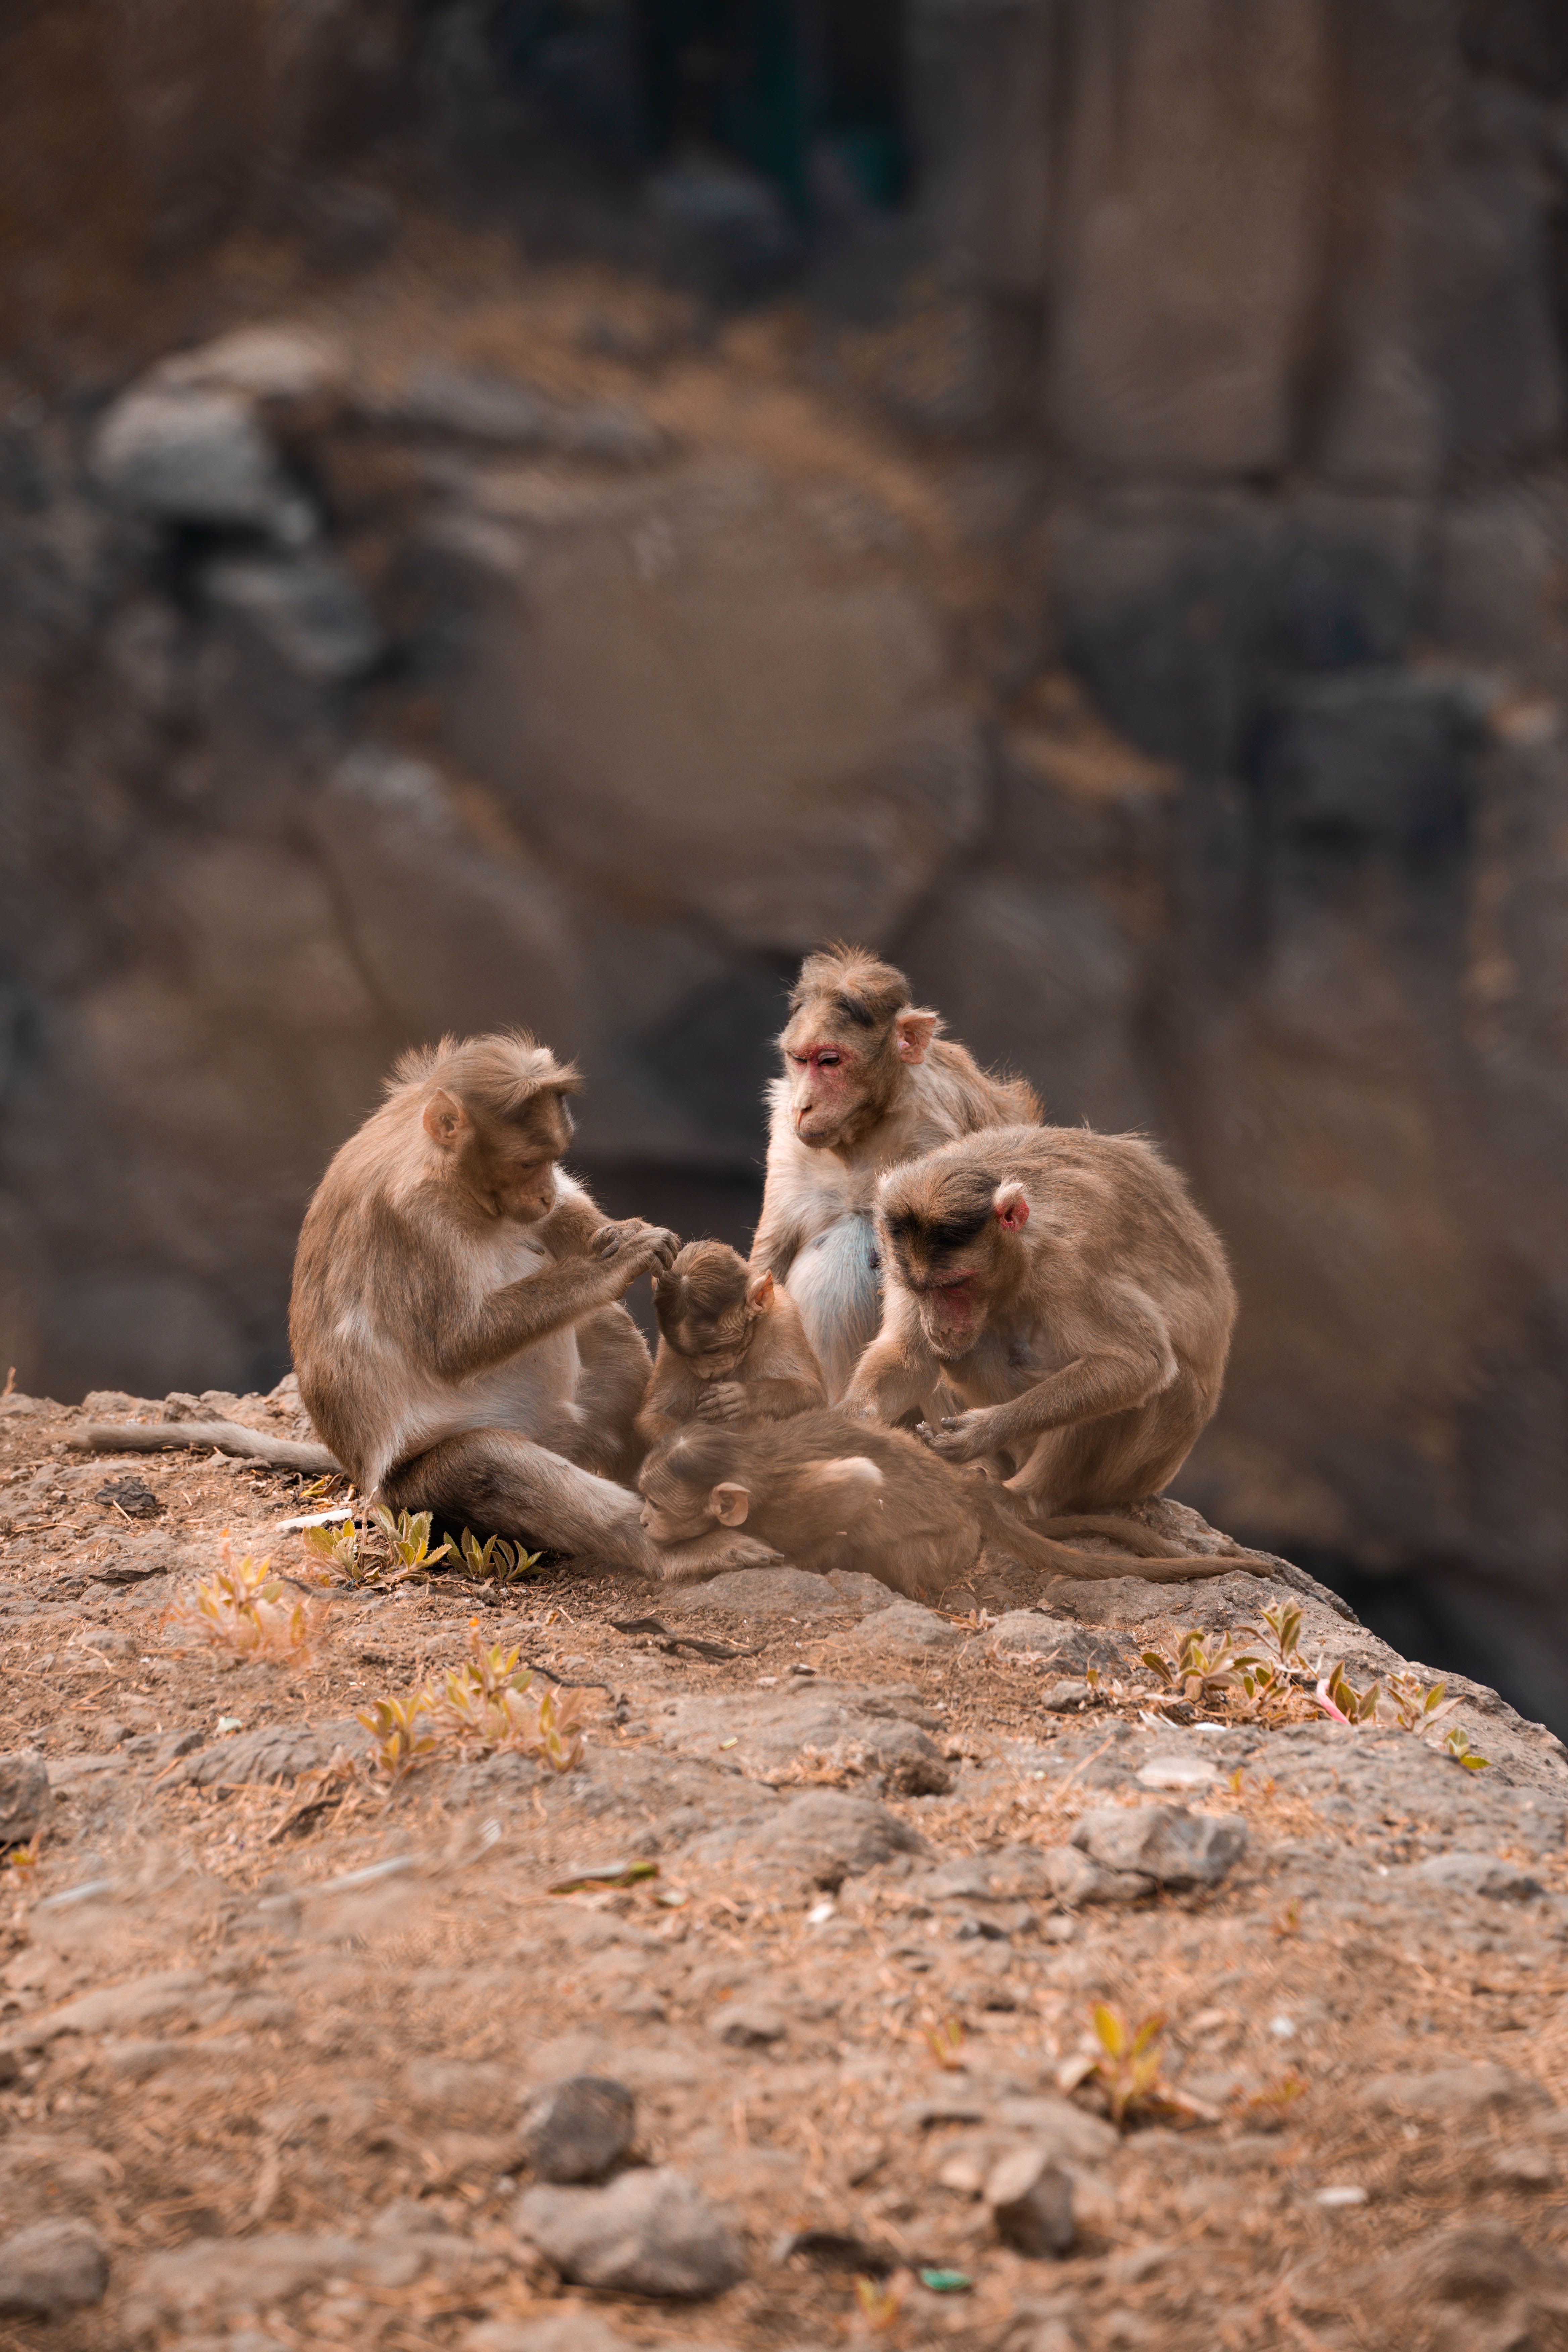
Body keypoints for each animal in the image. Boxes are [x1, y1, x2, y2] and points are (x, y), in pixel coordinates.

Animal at [287, 1031, 779, 1582]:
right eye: (527, 1163)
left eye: (553, 1157)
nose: (543, 1193)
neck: (445, 1170)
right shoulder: (411, 1216)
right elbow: (455, 1345)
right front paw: (614, 1264)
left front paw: (618, 1233)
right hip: (409, 1503)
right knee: (485, 1465)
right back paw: (669, 1550)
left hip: (570, 1431)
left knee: (606, 1329)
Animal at [634, 1240, 827, 1450]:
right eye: (686, 1354)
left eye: (715, 1350)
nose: (705, 1374)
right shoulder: (669, 1346)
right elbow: (652, 1417)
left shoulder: (784, 1320)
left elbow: (814, 1396)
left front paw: (746, 1397)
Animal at [636, 1407, 1244, 1601]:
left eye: (656, 1504)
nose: (642, 1520)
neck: (747, 1463)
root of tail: (968, 1492)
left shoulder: (786, 1501)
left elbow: (858, 1482)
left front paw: (807, 1558)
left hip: (941, 1550)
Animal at [750, 944, 1040, 1402]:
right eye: (799, 1060)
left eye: (829, 1061)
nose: (803, 1106)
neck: (867, 1129)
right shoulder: (785, 1137)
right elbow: (769, 1262)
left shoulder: (940, 1124)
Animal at [840, 1124, 1254, 1573]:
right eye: (920, 1288)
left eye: (956, 1285)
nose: (941, 1327)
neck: (1023, 1245)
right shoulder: (891, 1252)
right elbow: (910, 1359)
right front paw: (848, 1422)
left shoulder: (1068, 1264)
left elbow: (1136, 1363)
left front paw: (981, 1432)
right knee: (962, 1354)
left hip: (1135, 1470)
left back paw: (1025, 1498)